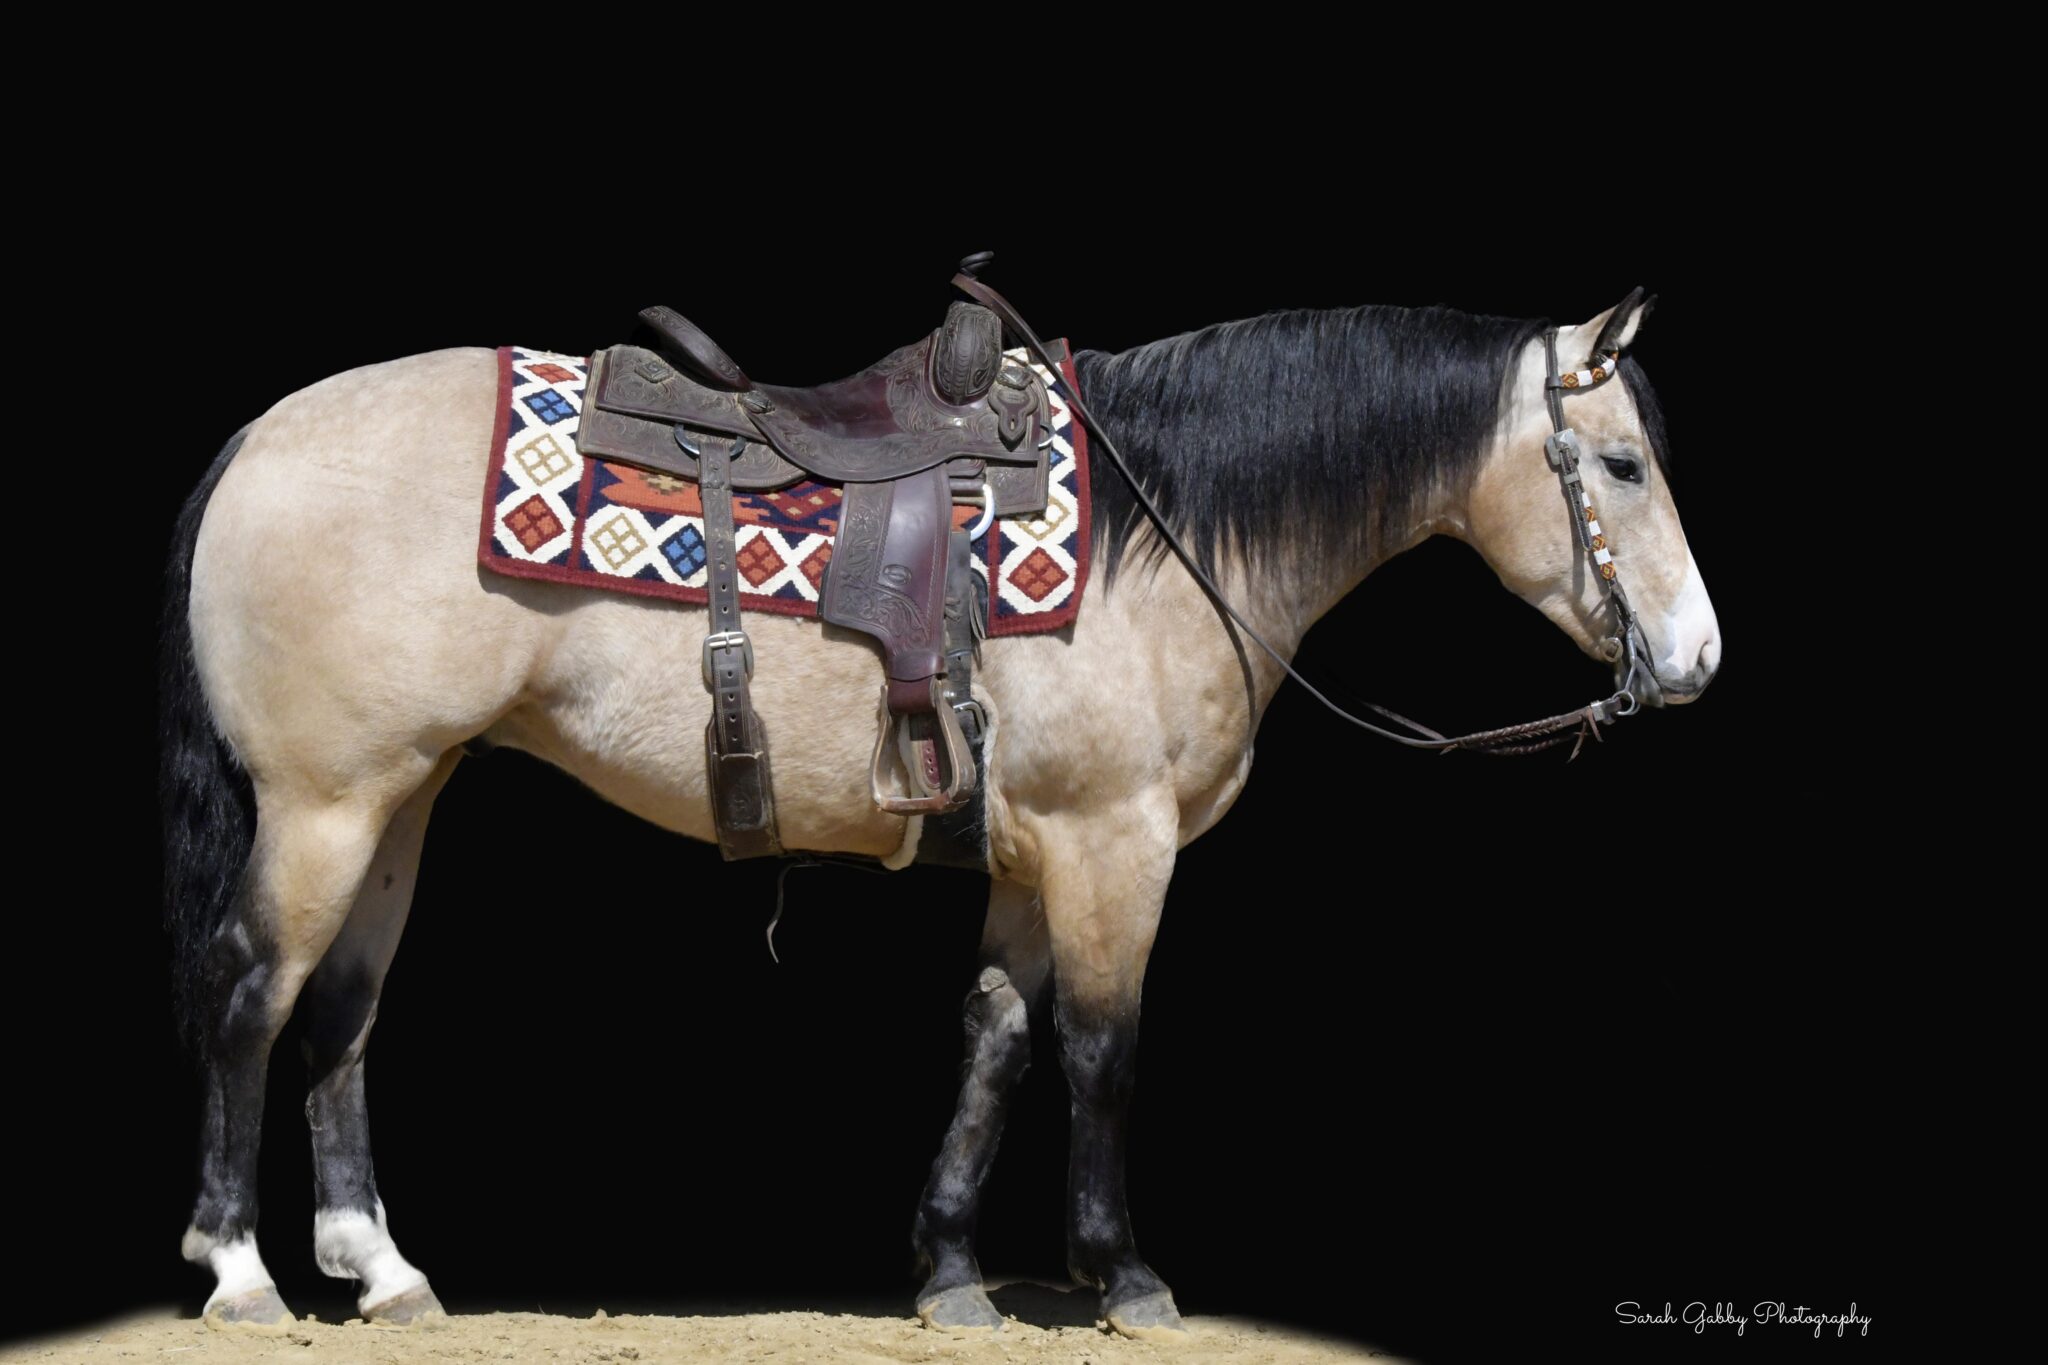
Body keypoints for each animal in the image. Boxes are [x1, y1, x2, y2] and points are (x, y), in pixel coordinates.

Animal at [158, 280, 1719, 1339]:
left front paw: (953, 1272)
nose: (1697, 659)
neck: (1159, 535)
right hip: (322, 804)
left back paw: (381, 1270)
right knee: (245, 992)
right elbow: (1102, 1052)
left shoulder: (1035, 855)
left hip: (402, 798)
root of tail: (256, 438)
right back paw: (239, 1270)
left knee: (344, 1011)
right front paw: (1123, 1273)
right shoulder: (1113, 846)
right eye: (1622, 466)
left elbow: (995, 1045)